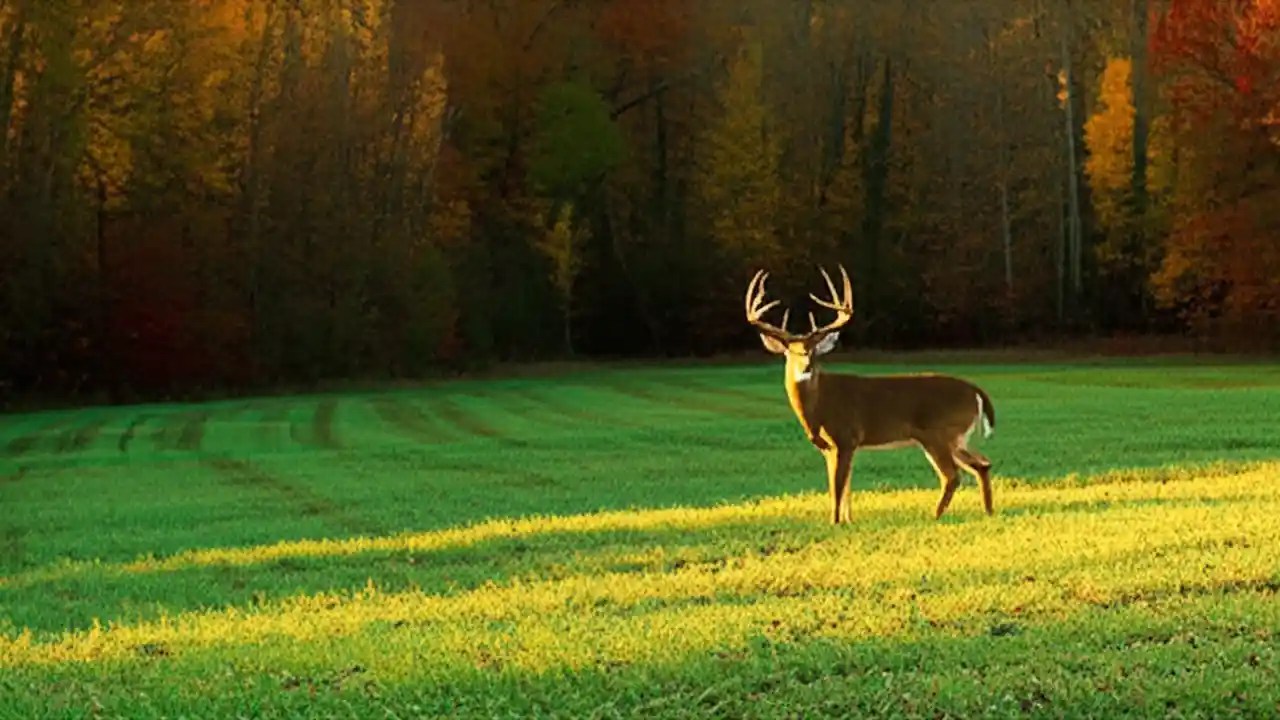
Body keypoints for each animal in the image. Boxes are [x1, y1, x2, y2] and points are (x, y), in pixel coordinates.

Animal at [745, 265, 997, 524]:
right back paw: (988, 511)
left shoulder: (846, 438)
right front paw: (848, 521)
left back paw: (935, 515)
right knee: (982, 464)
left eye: (813, 351)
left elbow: (838, 487)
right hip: (957, 437)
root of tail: (975, 391)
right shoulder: (829, 448)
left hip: (937, 433)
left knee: (952, 475)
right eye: (790, 352)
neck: (818, 409)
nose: (805, 367)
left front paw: (835, 522)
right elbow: (843, 487)